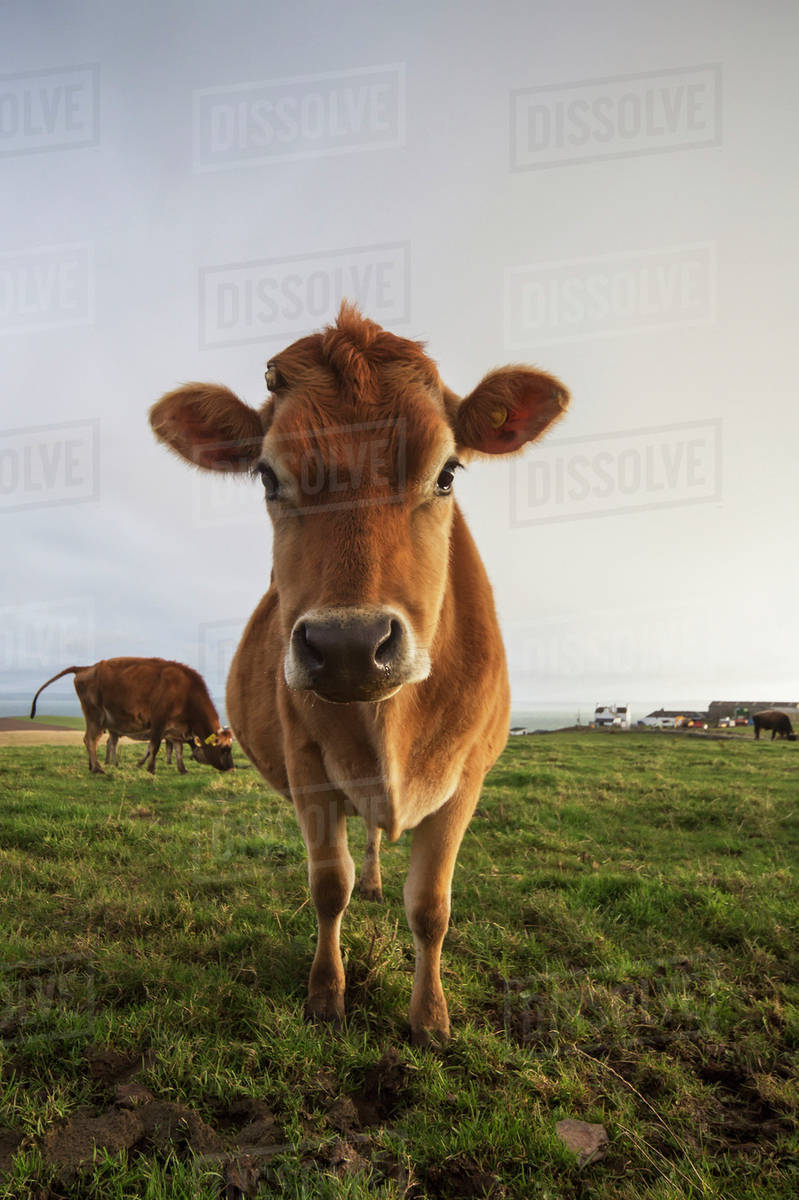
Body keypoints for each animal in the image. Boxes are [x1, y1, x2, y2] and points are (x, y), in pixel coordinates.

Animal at [30, 658, 235, 774]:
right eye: (224, 749)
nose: (232, 768)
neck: (186, 690)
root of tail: (87, 668)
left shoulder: (176, 730)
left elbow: (178, 750)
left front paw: (182, 769)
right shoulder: (159, 722)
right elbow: (154, 746)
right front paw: (150, 769)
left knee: (93, 740)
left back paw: (93, 766)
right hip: (95, 715)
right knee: (90, 740)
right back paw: (98, 768)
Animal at [149, 303, 569, 1043]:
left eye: (447, 472)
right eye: (268, 477)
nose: (348, 644)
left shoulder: (467, 777)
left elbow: (431, 906)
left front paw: (430, 1018)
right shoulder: (307, 767)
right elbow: (328, 887)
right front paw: (326, 994)